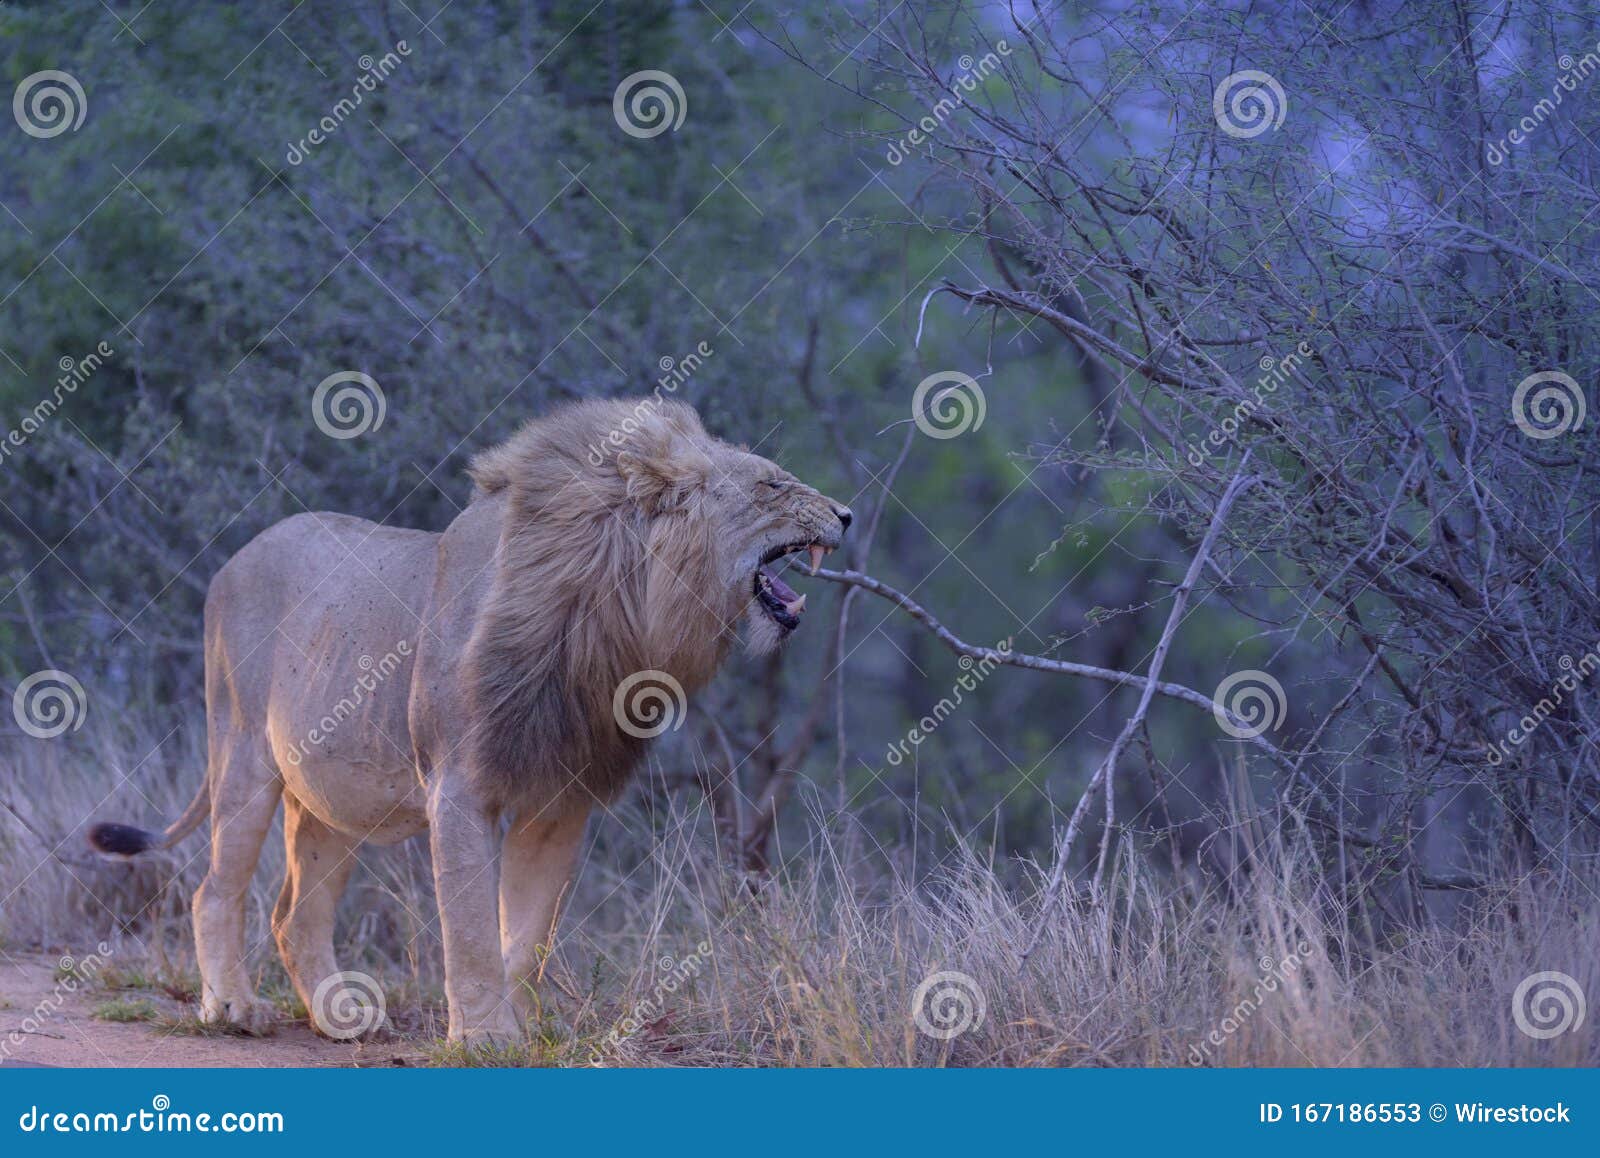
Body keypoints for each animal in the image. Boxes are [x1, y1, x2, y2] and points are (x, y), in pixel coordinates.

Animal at [88, 397, 851, 1044]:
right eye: (772, 485)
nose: (846, 514)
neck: (616, 609)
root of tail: (234, 559)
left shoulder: (560, 795)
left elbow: (528, 934)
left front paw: (526, 1031)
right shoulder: (459, 787)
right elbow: (473, 929)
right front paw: (483, 1039)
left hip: (332, 794)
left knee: (295, 916)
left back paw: (343, 1017)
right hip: (243, 753)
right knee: (214, 890)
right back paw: (234, 1007)